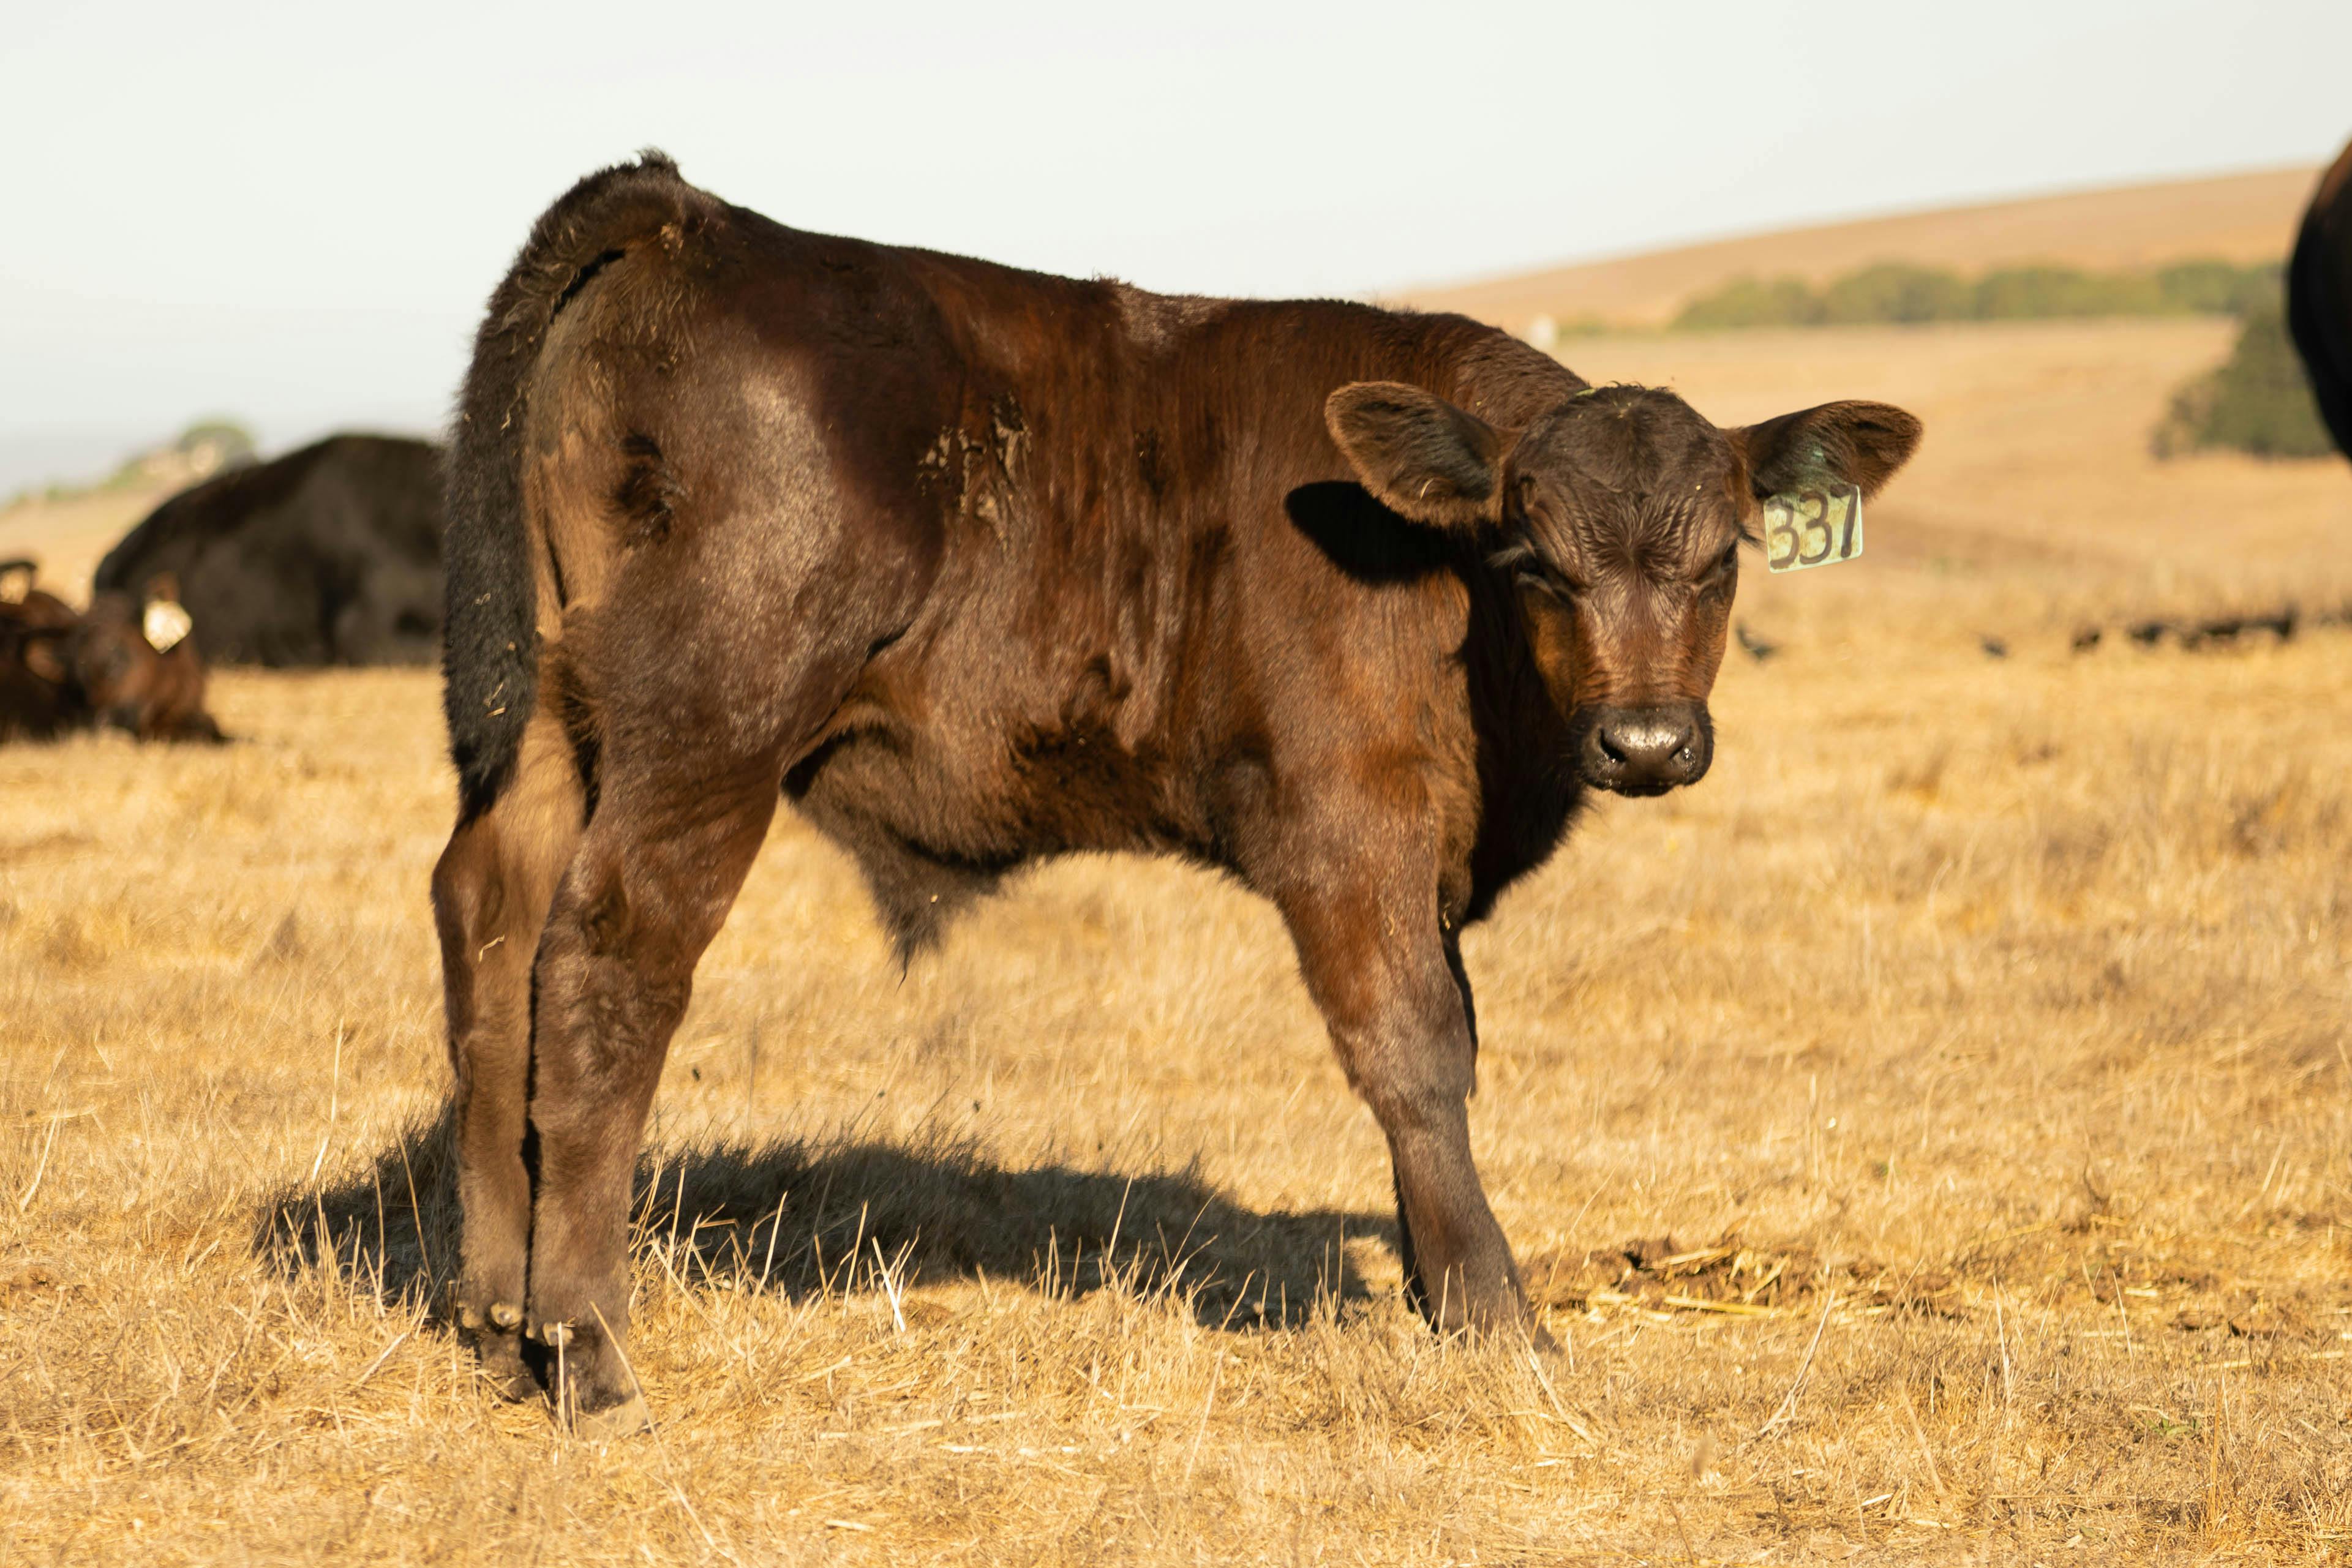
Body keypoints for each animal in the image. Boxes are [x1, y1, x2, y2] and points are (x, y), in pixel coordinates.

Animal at [431, 153, 1922, 1431]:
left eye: (1722, 558)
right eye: (1533, 559)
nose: (1648, 741)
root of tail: (699, 218)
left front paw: (1437, 1287)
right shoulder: (1347, 831)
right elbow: (1416, 1050)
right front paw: (1497, 1315)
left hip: (552, 736)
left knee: (492, 932)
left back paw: (503, 1324)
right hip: (711, 729)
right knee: (608, 962)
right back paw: (591, 1352)